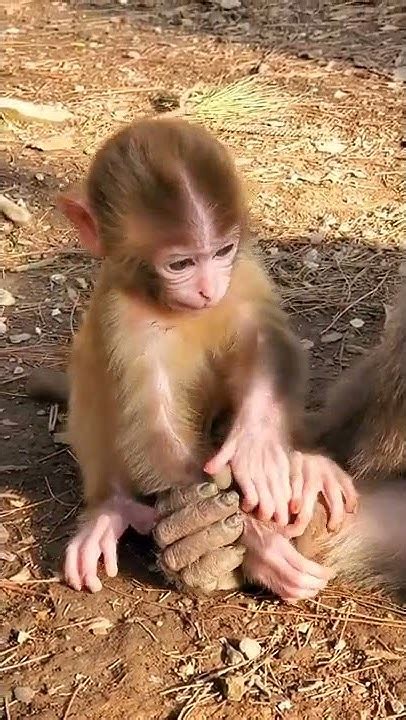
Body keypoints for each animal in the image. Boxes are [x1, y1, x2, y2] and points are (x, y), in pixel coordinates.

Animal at [45, 117, 355, 594]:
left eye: (220, 251)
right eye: (180, 265)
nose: (208, 289)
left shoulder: (242, 270)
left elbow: (267, 343)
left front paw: (256, 444)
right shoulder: (124, 318)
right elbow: (160, 432)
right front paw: (261, 547)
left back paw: (306, 464)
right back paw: (112, 509)